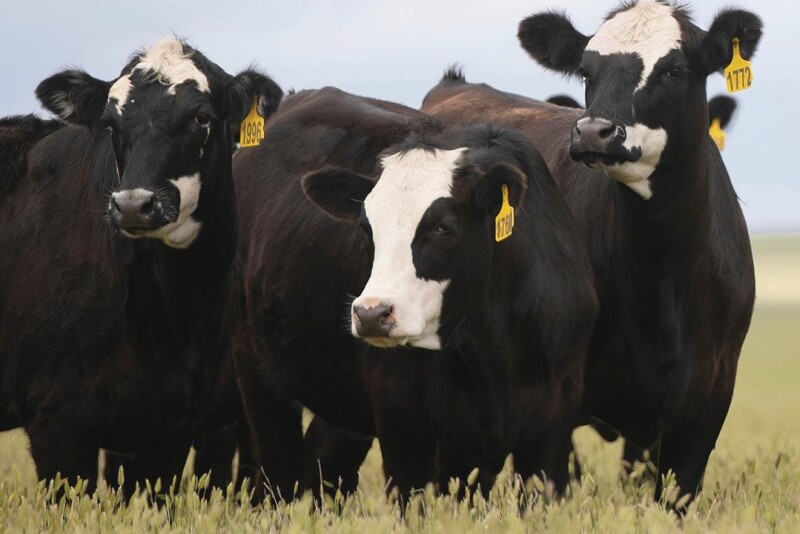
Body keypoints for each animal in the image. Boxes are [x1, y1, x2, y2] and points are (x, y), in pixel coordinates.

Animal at [231, 86, 597, 502]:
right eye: (365, 226)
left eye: (443, 226)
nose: (372, 314)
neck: (493, 353)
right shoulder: (403, 420)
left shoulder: (551, 426)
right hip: (256, 372)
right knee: (276, 478)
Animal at [422, 0, 761, 508]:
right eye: (586, 70)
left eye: (675, 69)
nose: (594, 132)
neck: (665, 277)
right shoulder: (558, 398)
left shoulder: (708, 402)